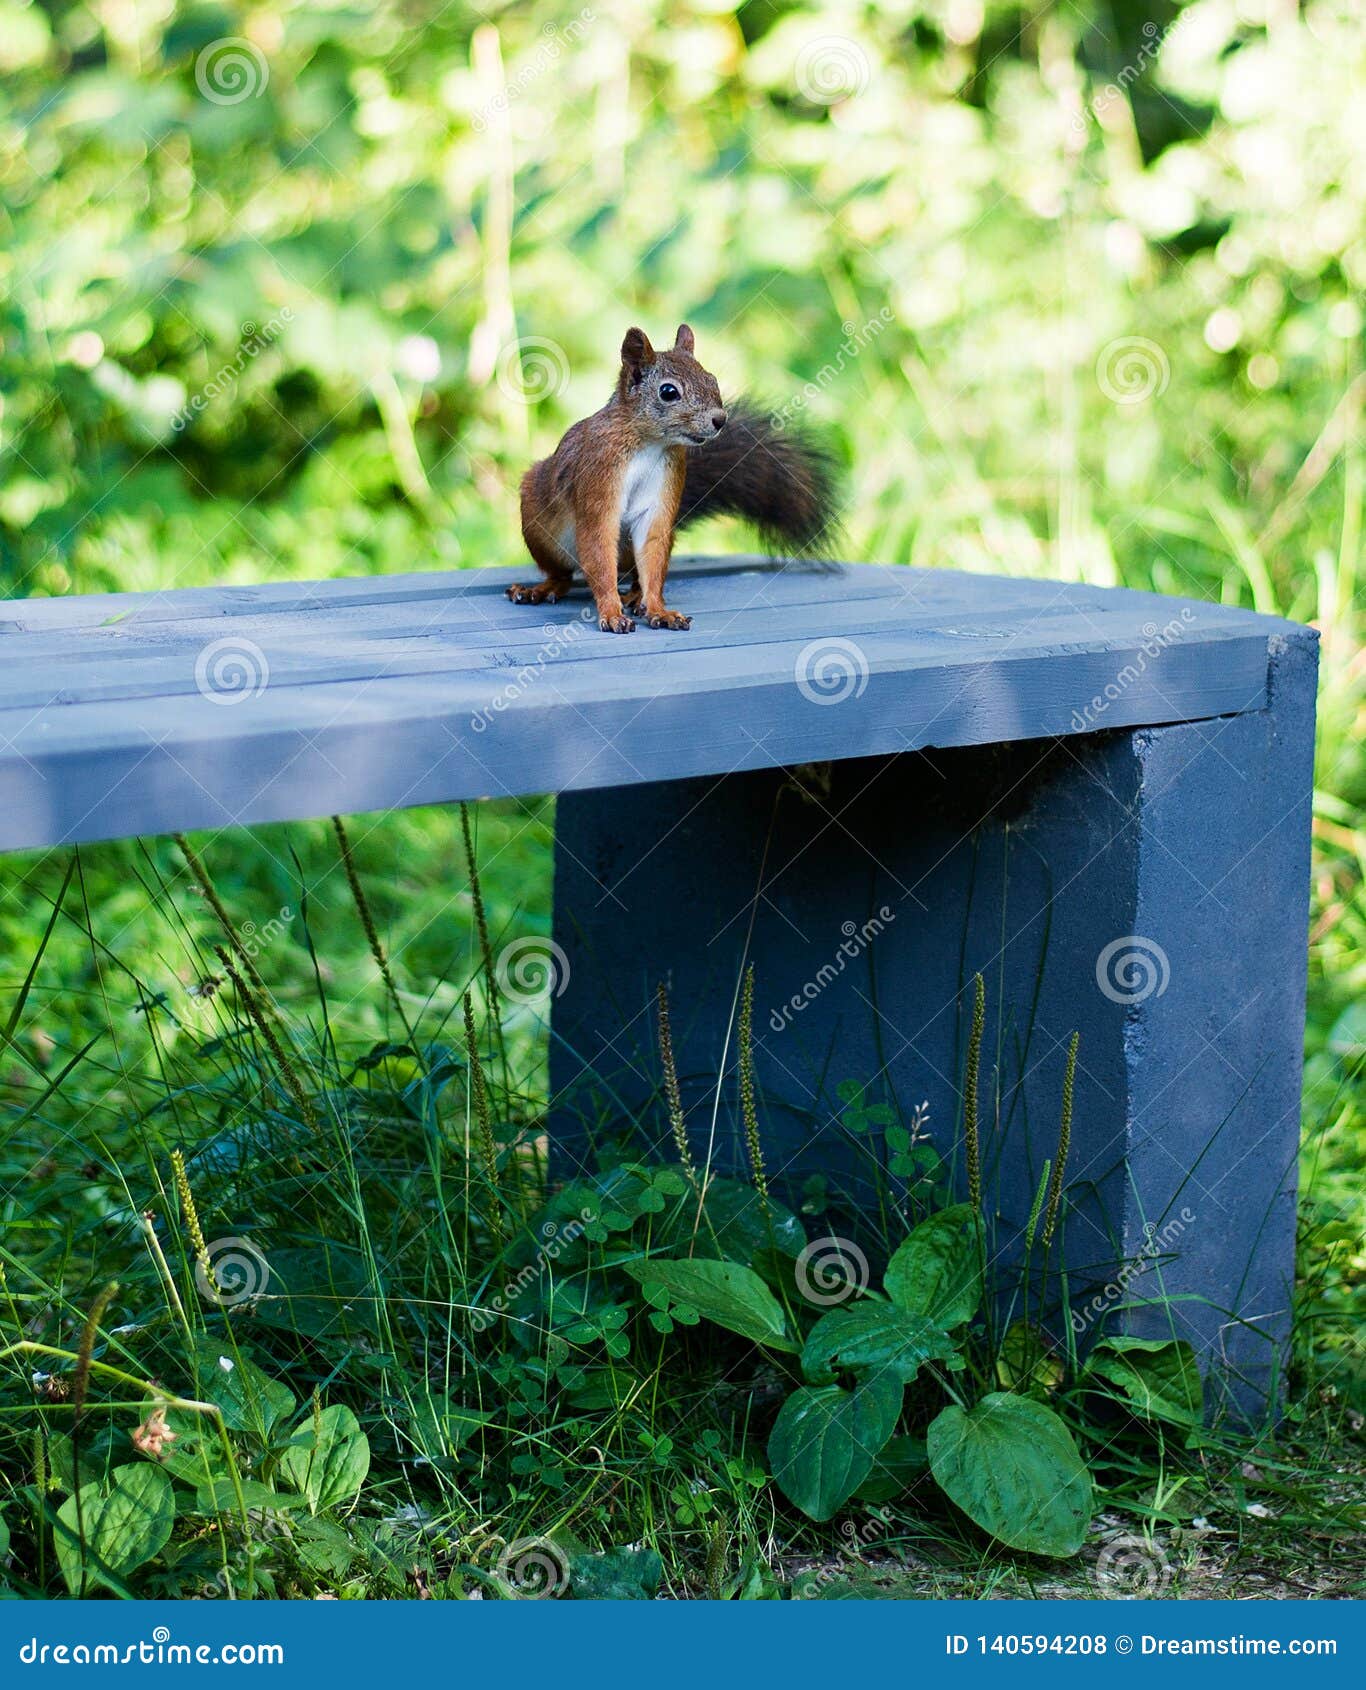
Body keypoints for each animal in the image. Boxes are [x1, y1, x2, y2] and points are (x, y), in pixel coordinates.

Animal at [508, 323, 837, 633]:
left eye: (712, 380)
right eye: (668, 392)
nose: (720, 420)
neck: (649, 443)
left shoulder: (666, 484)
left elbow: (653, 552)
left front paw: (658, 609)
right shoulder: (598, 475)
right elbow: (599, 547)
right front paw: (611, 613)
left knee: (635, 572)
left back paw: (635, 596)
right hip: (539, 528)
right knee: (562, 574)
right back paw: (542, 588)